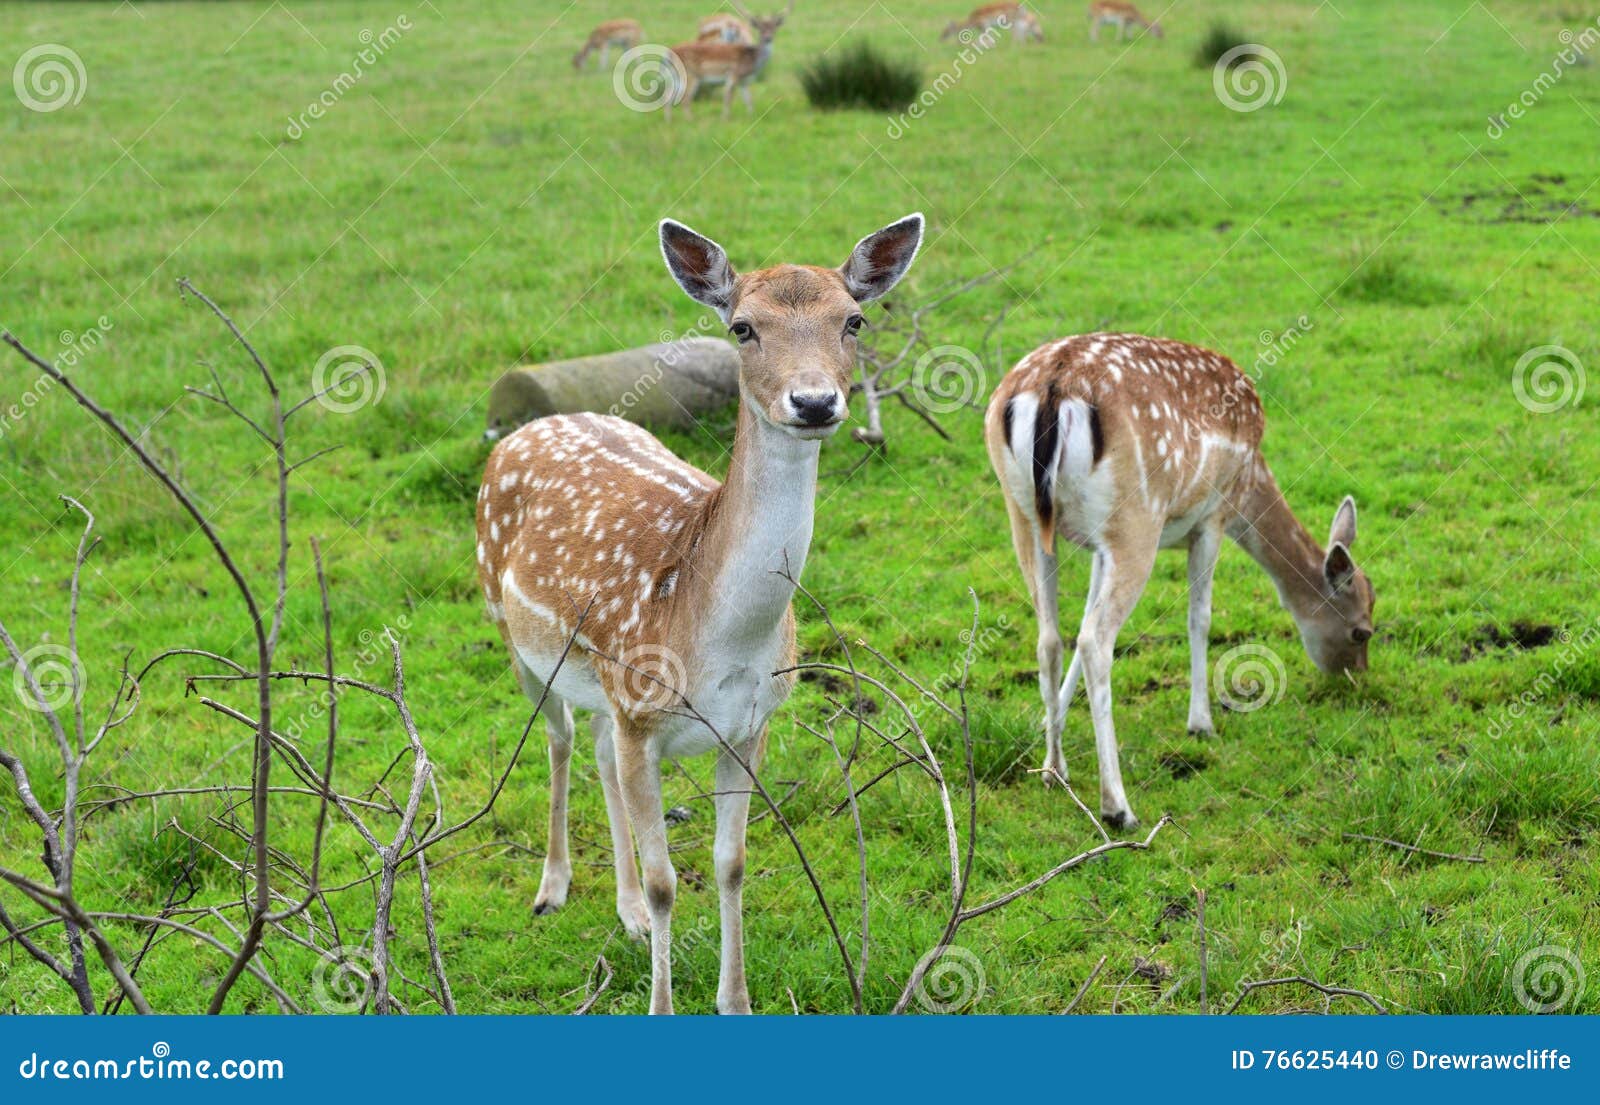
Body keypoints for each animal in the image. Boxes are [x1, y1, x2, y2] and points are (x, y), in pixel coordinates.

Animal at [476, 212, 924, 1014]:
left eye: (854, 319)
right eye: (742, 326)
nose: (815, 403)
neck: (721, 639)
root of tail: (523, 430)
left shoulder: (748, 724)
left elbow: (730, 861)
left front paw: (734, 1000)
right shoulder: (642, 717)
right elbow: (667, 882)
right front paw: (661, 1001)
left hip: (606, 685)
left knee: (595, 749)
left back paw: (622, 911)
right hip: (516, 636)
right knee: (559, 739)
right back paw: (552, 889)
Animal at [984, 334, 1374, 830]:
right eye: (1361, 631)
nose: (1357, 678)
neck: (1252, 483)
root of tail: (1055, 386)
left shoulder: (1096, 547)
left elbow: (1077, 624)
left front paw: (1046, 727)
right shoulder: (1213, 517)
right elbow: (1199, 618)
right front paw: (1201, 723)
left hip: (1025, 517)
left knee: (1050, 638)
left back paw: (1055, 770)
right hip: (1136, 520)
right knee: (1096, 639)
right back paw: (1118, 807)